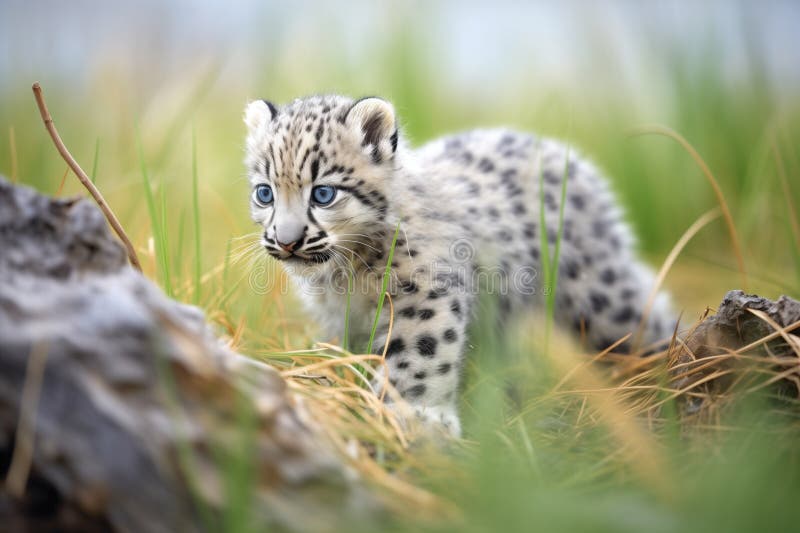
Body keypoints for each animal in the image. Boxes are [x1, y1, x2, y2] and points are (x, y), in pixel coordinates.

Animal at [243, 95, 675, 437]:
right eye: (265, 193)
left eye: (323, 193)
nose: (286, 240)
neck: (343, 278)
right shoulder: (342, 319)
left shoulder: (423, 291)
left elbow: (418, 354)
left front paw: (416, 418)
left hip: (598, 296)